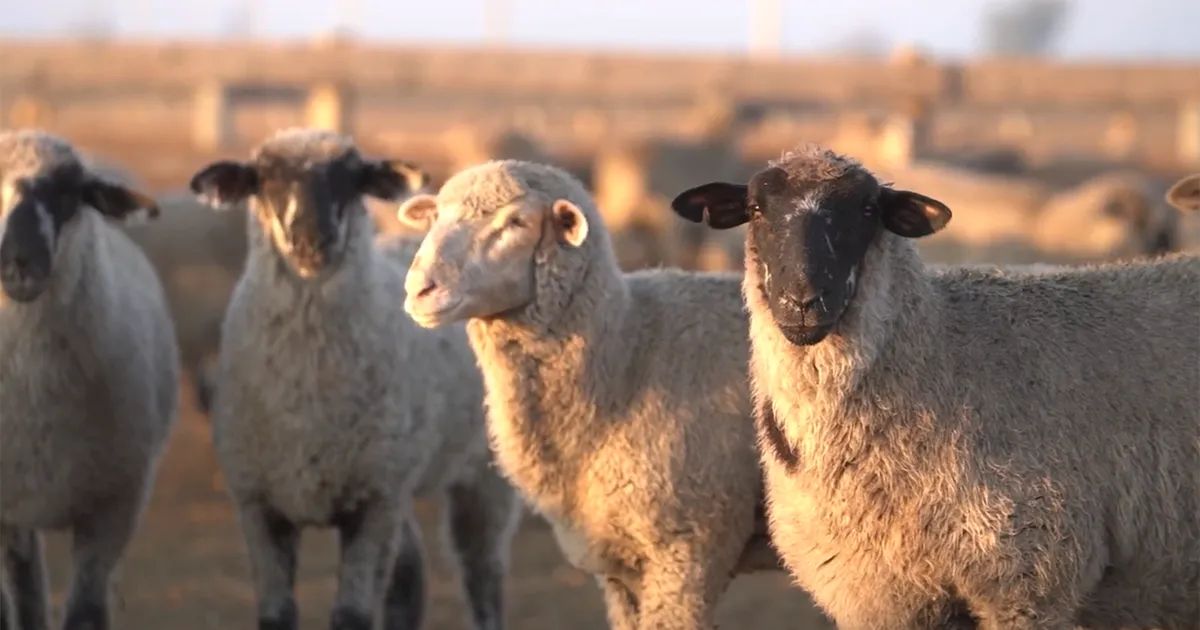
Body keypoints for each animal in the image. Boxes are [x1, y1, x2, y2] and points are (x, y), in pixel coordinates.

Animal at [188, 128, 520, 630]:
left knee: (480, 573)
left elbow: (352, 615)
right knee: (410, 575)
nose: (313, 240)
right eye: (265, 179)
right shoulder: (260, 504)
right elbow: (277, 615)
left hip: (479, 475)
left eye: (351, 178)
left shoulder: (371, 503)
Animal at [400, 160, 782, 630]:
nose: (419, 289)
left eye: (516, 222)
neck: (628, 359)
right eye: (434, 217)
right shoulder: (619, 565)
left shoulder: (688, 550)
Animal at [672, 145, 1200, 629]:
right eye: (756, 208)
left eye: (868, 210)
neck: (939, 351)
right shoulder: (878, 596)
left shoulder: (1029, 581)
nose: (802, 302)